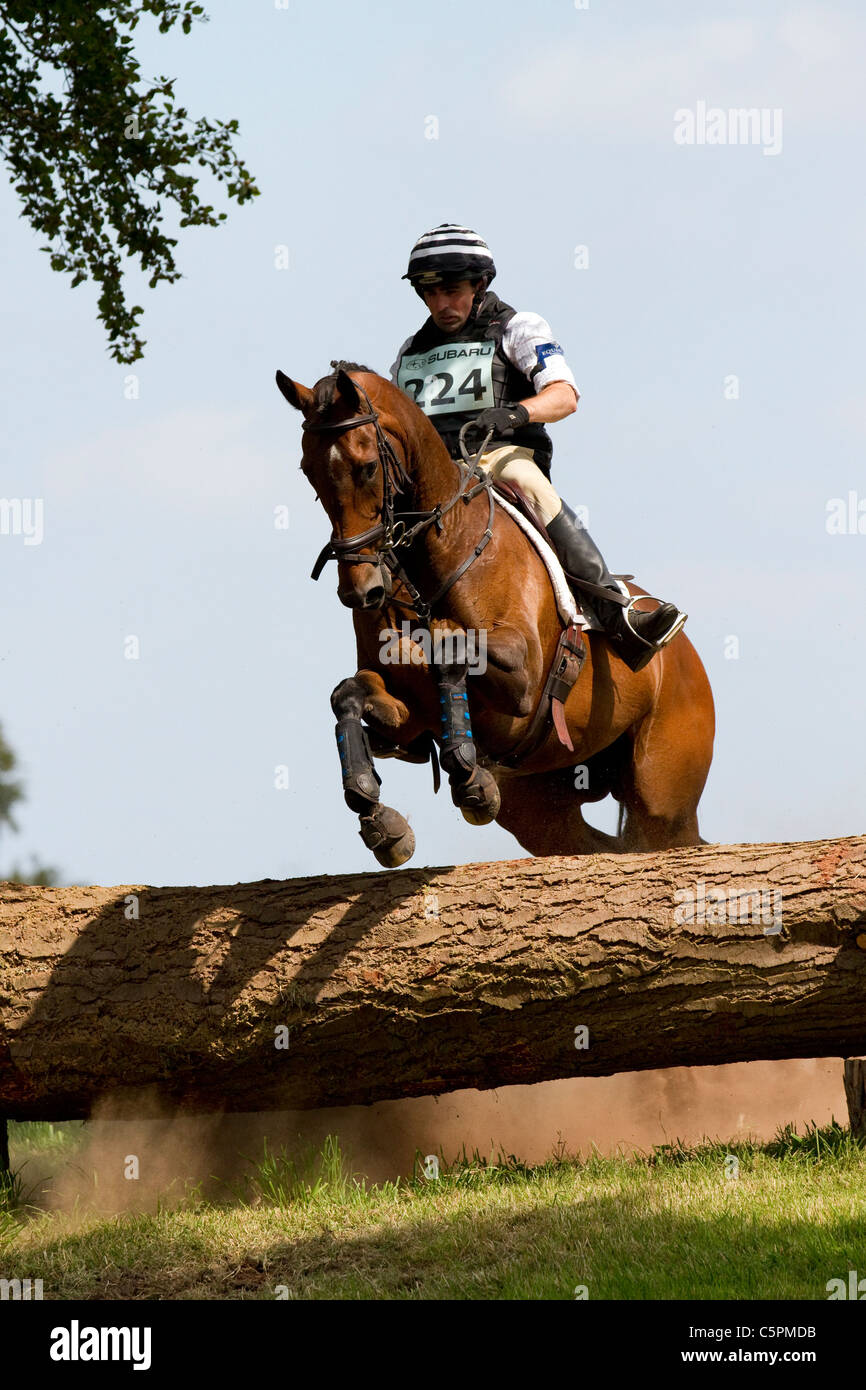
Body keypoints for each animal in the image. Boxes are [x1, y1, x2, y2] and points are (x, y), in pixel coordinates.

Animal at [275, 361, 715, 867]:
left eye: (367, 467)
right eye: (309, 472)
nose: (360, 590)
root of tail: (687, 659)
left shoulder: (522, 677)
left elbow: (449, 652)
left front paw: (469, 776)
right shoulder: (406, 709)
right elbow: (349, 693)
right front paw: (379, 816)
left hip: (662, 793)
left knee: (668, 837)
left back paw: (643, 623)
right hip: (541, 805)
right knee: (595, 847)